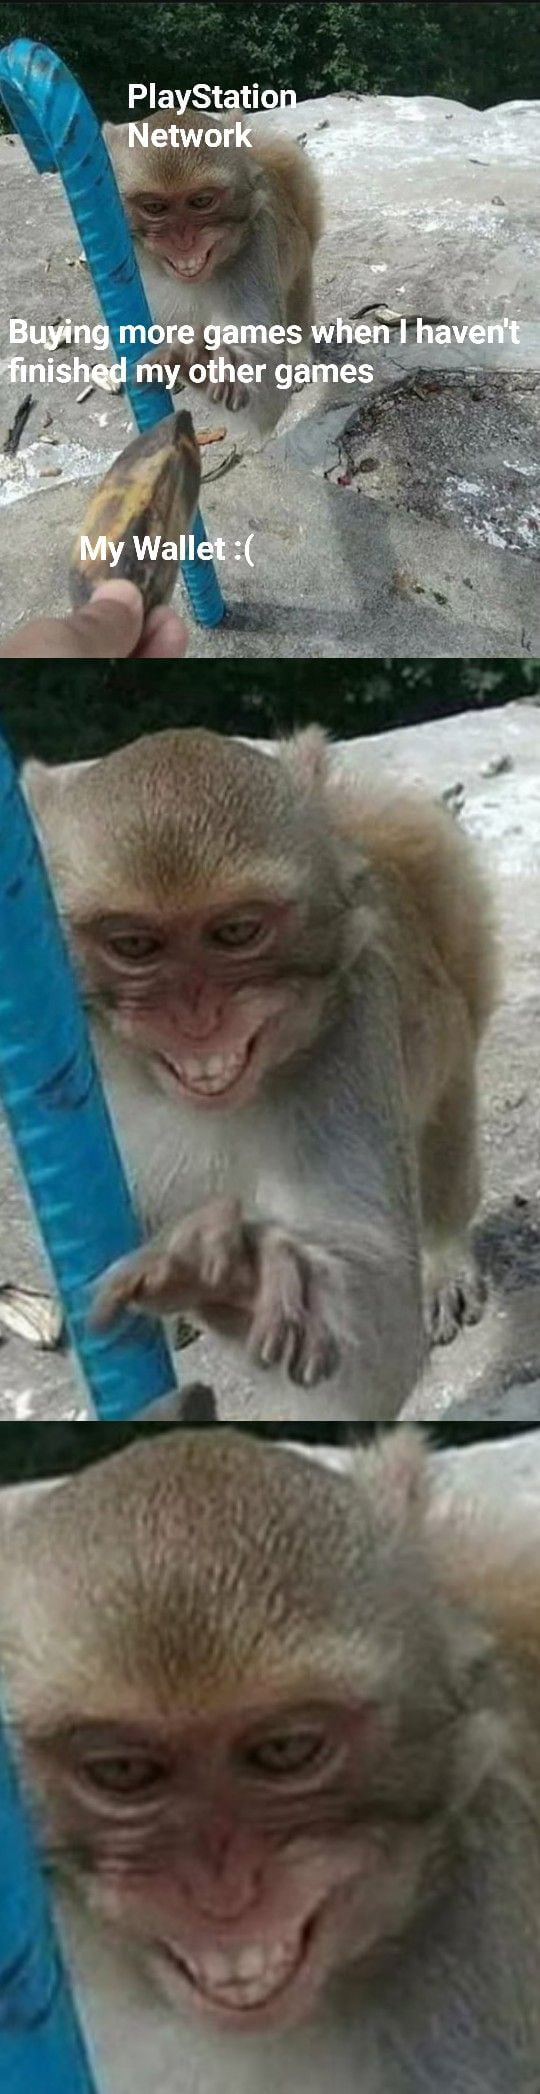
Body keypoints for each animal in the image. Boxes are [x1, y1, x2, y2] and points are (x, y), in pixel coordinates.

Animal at [23, 727, 497, 1424]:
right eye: (134, 946)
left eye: (237, 932)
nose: (197, 1017)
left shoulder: (353, 1036)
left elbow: (380, 1335)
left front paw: (250, 1285)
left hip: (449, 1041)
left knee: (443, 1150)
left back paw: (444, 1254)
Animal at [103, 121, 322, 434]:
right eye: (155, 207)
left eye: (201, 201)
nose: (183, 240)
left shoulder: (255, 254)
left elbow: (267, 405)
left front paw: (201, 368)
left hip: (300, 252)